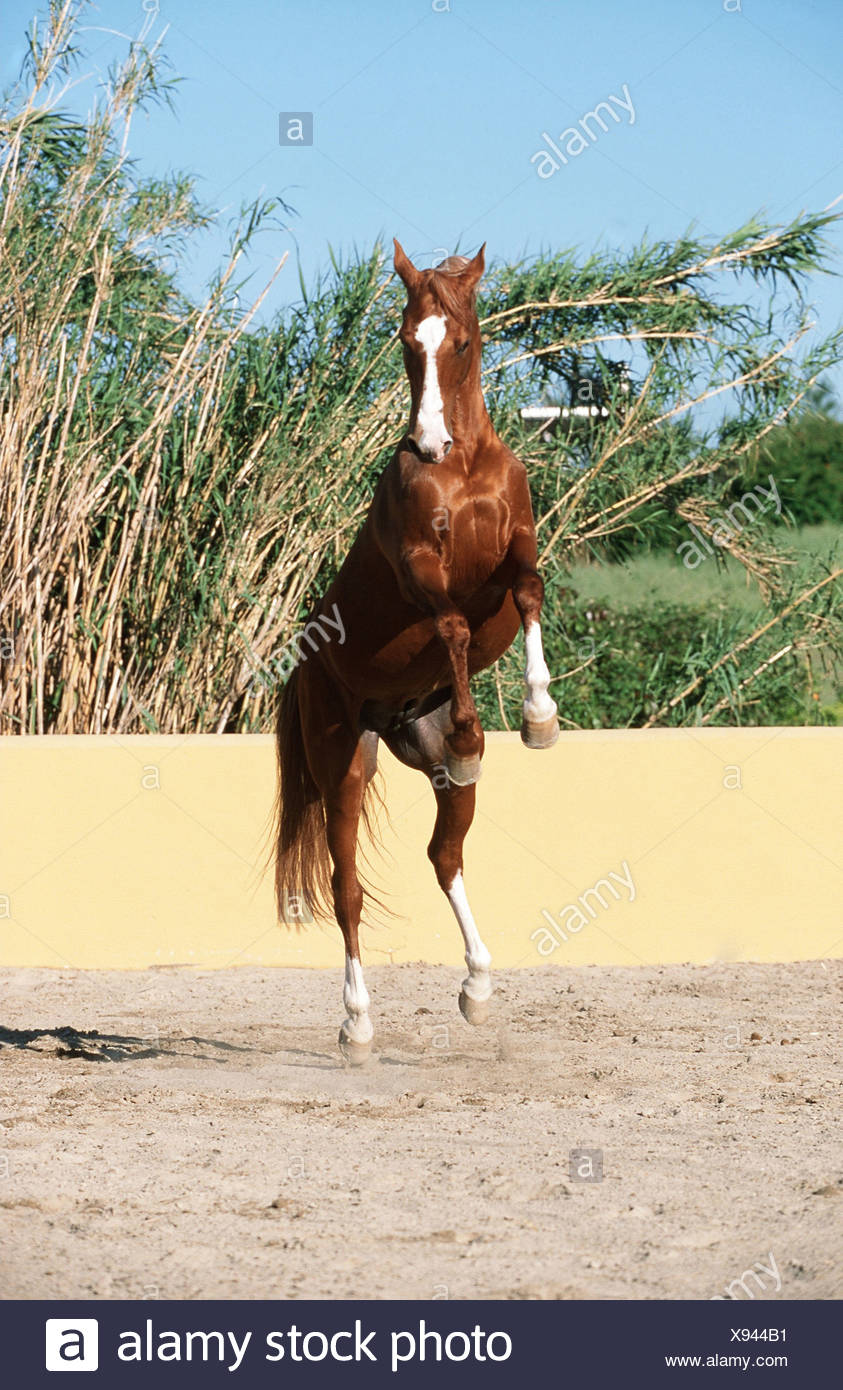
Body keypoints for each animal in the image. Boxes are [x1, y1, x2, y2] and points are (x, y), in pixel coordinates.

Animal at [274, 240, 559, 1061]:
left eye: (458, 341)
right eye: (406, 339)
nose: (428, 444)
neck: (461, 469)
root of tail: (304, 667)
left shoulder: (516, 546)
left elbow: (529, 592)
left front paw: (539, 716)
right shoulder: (419, 571)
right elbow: (453, 627)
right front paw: (490, 723)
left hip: (420, 756)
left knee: (444, 855)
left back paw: (477, 986)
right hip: (343, 765)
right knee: (346, 891)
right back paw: (357, 1026)